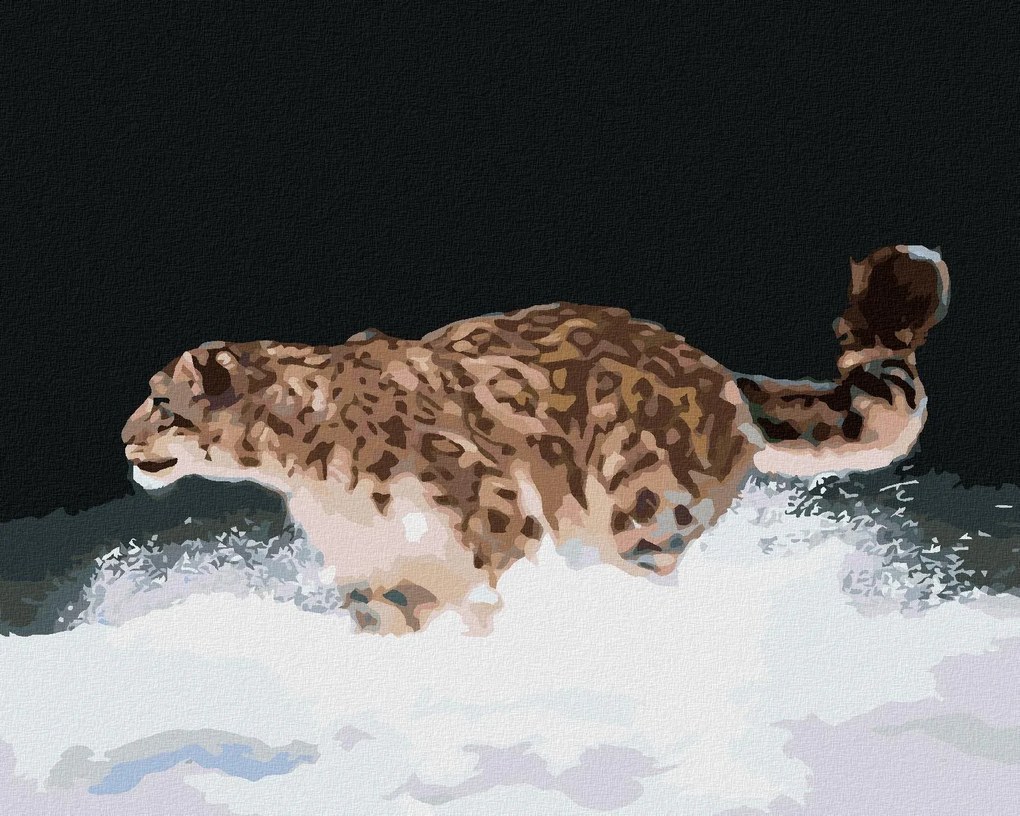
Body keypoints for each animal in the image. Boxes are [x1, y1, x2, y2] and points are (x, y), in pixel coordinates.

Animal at [122, 244, 950, 634]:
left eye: (161, 401)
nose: (125, 437)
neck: (310, 478)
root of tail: (714, 368)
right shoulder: (374, 570)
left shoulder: (489, 517)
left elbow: (488, 604)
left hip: (643, 512)